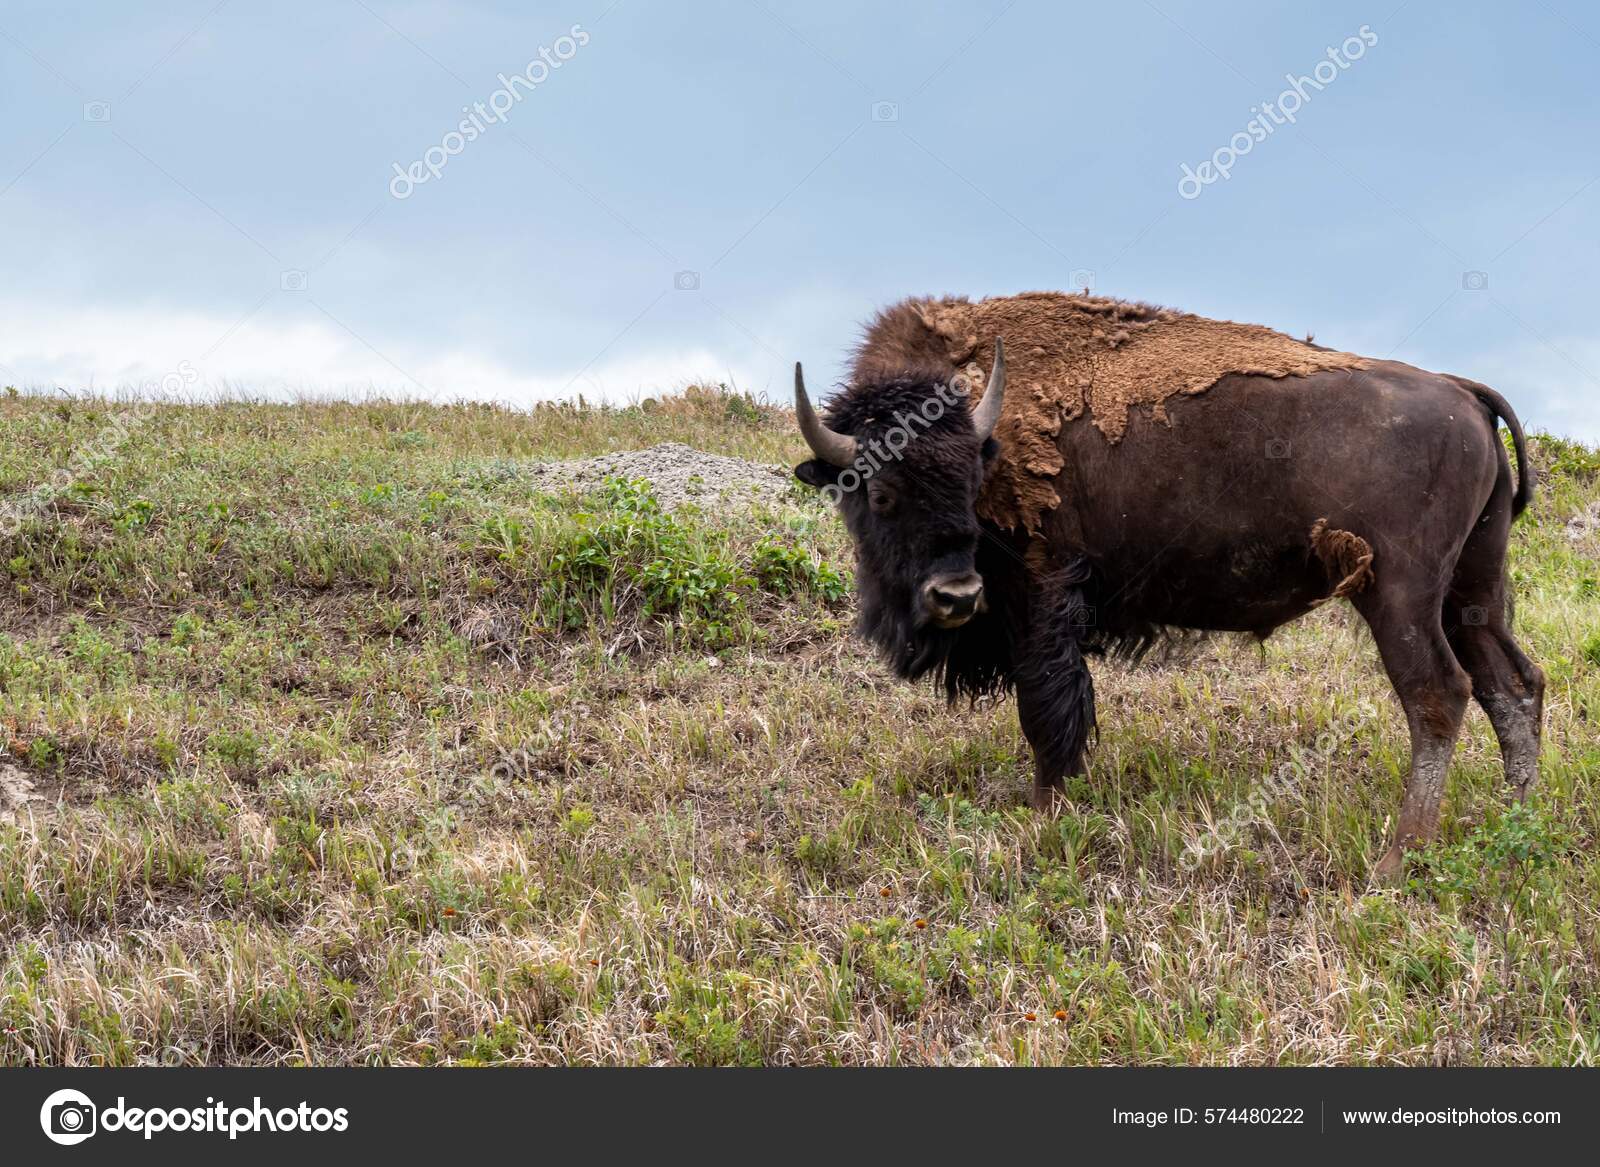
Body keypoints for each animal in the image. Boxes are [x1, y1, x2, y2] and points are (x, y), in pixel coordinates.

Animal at [792, 292, 1542, 880]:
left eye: (974, 481)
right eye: (877, 492)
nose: (954, 596)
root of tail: (1461, 389)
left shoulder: (1043, 599)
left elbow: (1048, 711)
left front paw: (1045, 814)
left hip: (1399, 594)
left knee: (1440, 694)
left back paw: (1396, 859)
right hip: (1471, 590)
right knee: (1514, 684)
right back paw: (1512, 821)